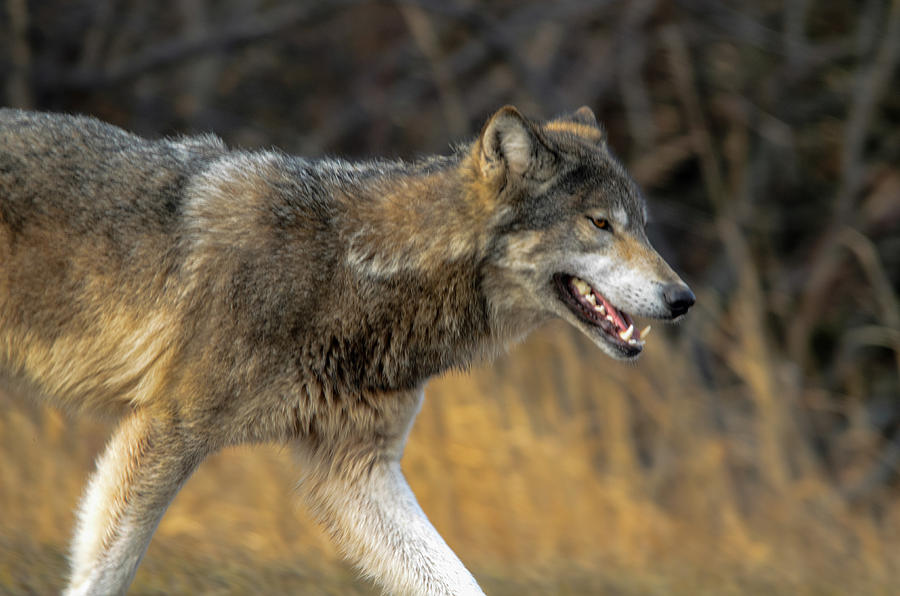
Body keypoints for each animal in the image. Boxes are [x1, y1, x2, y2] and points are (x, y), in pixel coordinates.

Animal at [0, 105, 693, 595]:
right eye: (600, 224)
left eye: (642, 226)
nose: (683, 298)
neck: (355, 268)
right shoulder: (168, 430)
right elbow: (106, 572)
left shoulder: (356, 470)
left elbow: (459, 582)